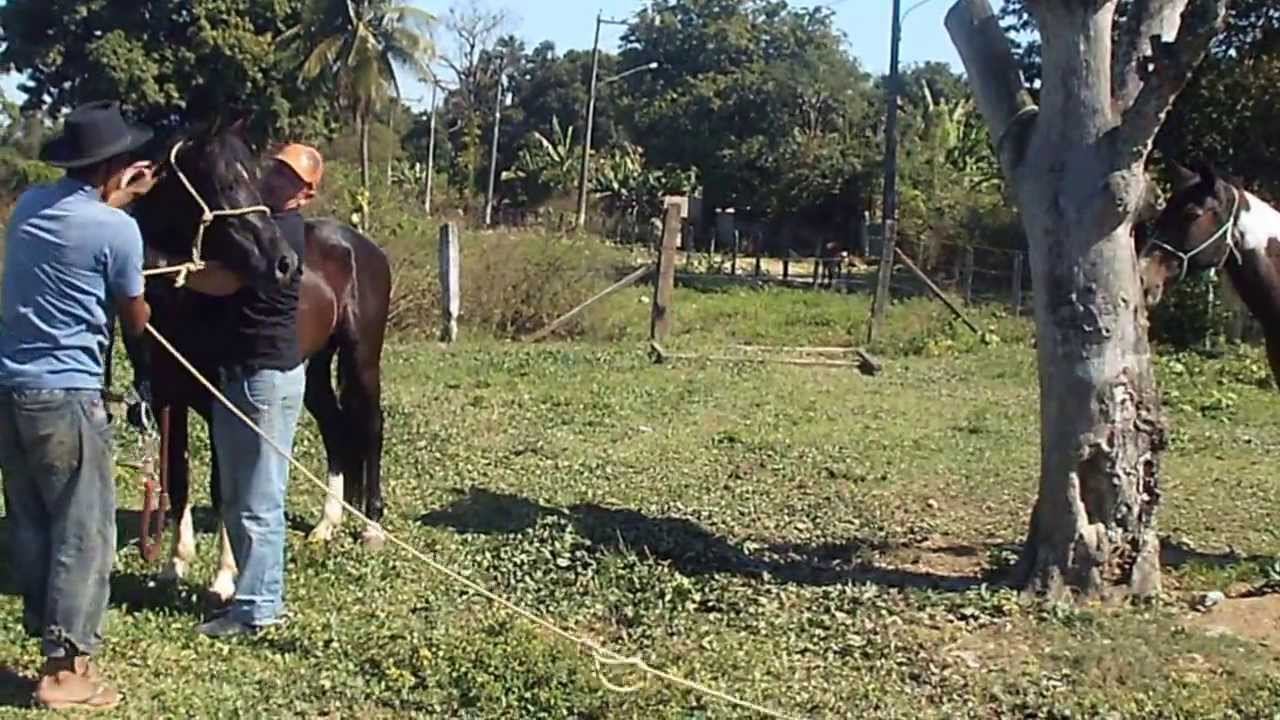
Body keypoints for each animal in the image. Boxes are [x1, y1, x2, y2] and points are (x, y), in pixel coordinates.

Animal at [124, 121, 392, 601]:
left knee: (371, 427)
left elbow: (225, 486)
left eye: (252, 179)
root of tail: (360, 245)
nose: (284, 264)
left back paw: (371, 526)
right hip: (314, 369)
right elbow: (178, 478)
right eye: (226, 182)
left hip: (362, 359)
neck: (181, 296)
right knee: (335, 428)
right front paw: (175, 564)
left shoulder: (222, 401)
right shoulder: (170, 398)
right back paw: (326, 524)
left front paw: (225, 576)